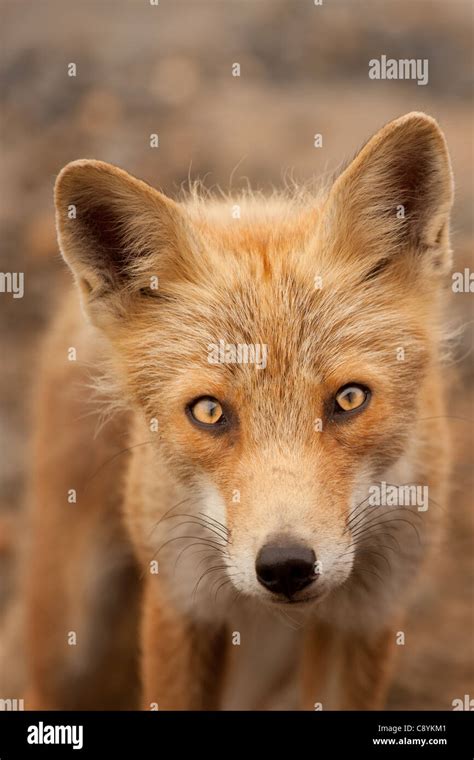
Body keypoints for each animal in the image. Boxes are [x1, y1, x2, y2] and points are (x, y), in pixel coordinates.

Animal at [25, 112, 454, 710]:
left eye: (349, 399)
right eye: (208, 412)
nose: (286, 566)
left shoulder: (365, 616)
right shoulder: (182, 603)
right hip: (75, 638)